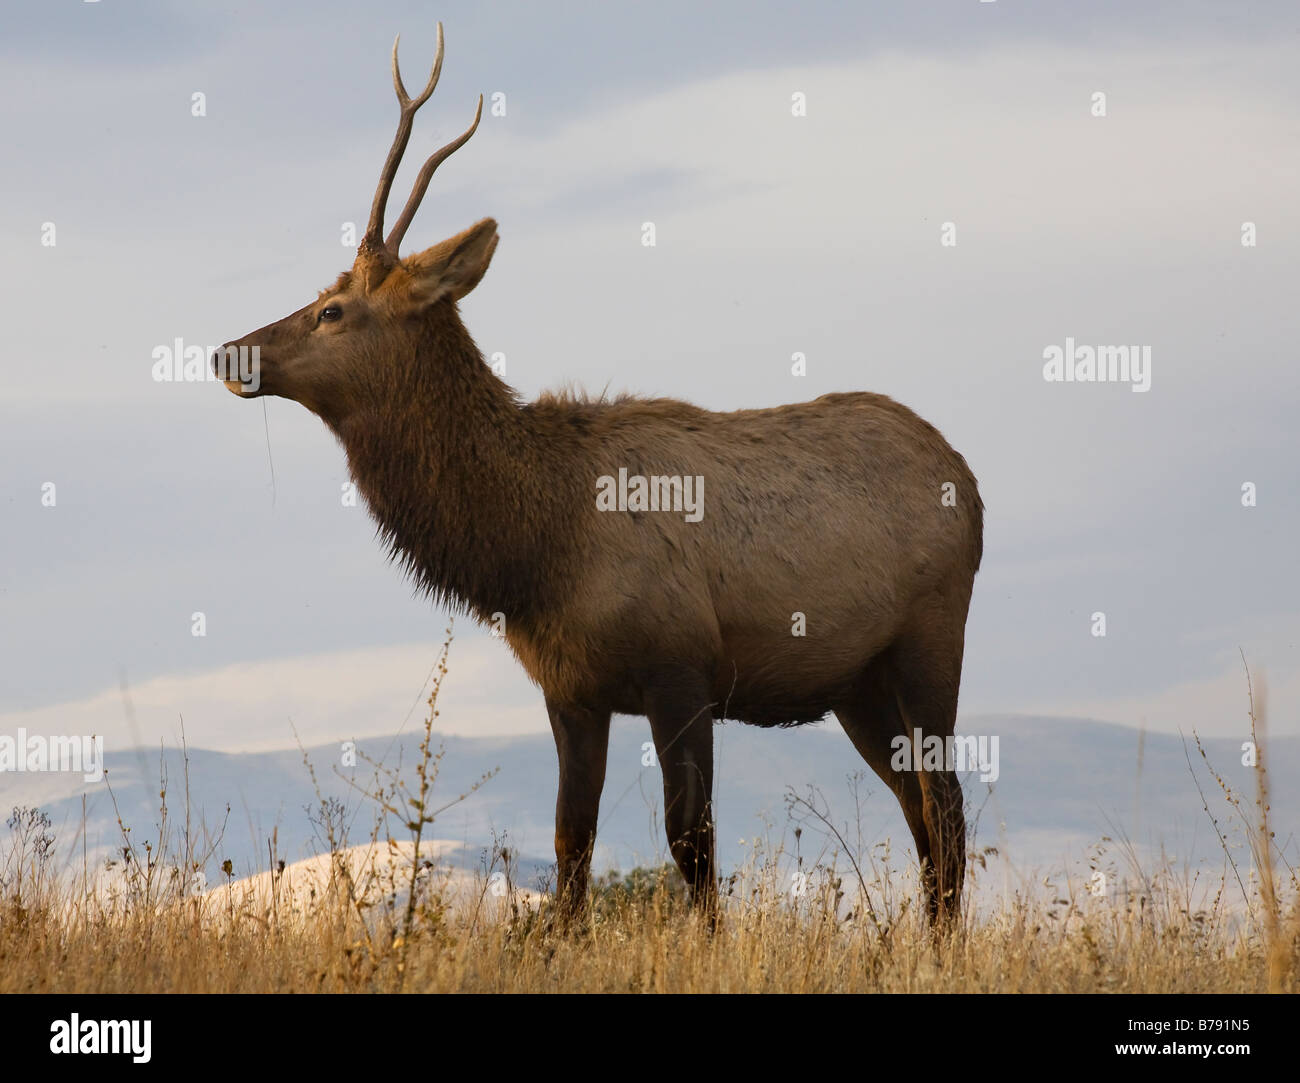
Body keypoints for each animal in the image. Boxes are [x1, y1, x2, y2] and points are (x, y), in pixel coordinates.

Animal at [214, 23, 984, 928]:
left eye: (333, 310)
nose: (228, 351)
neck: (535, 549)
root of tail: (970, 481)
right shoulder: (570, 689)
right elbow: (569, 846)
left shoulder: (683, 667)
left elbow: (690, 840)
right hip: (856, 683)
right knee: (920, 808)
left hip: (931, 638)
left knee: (946, 804)